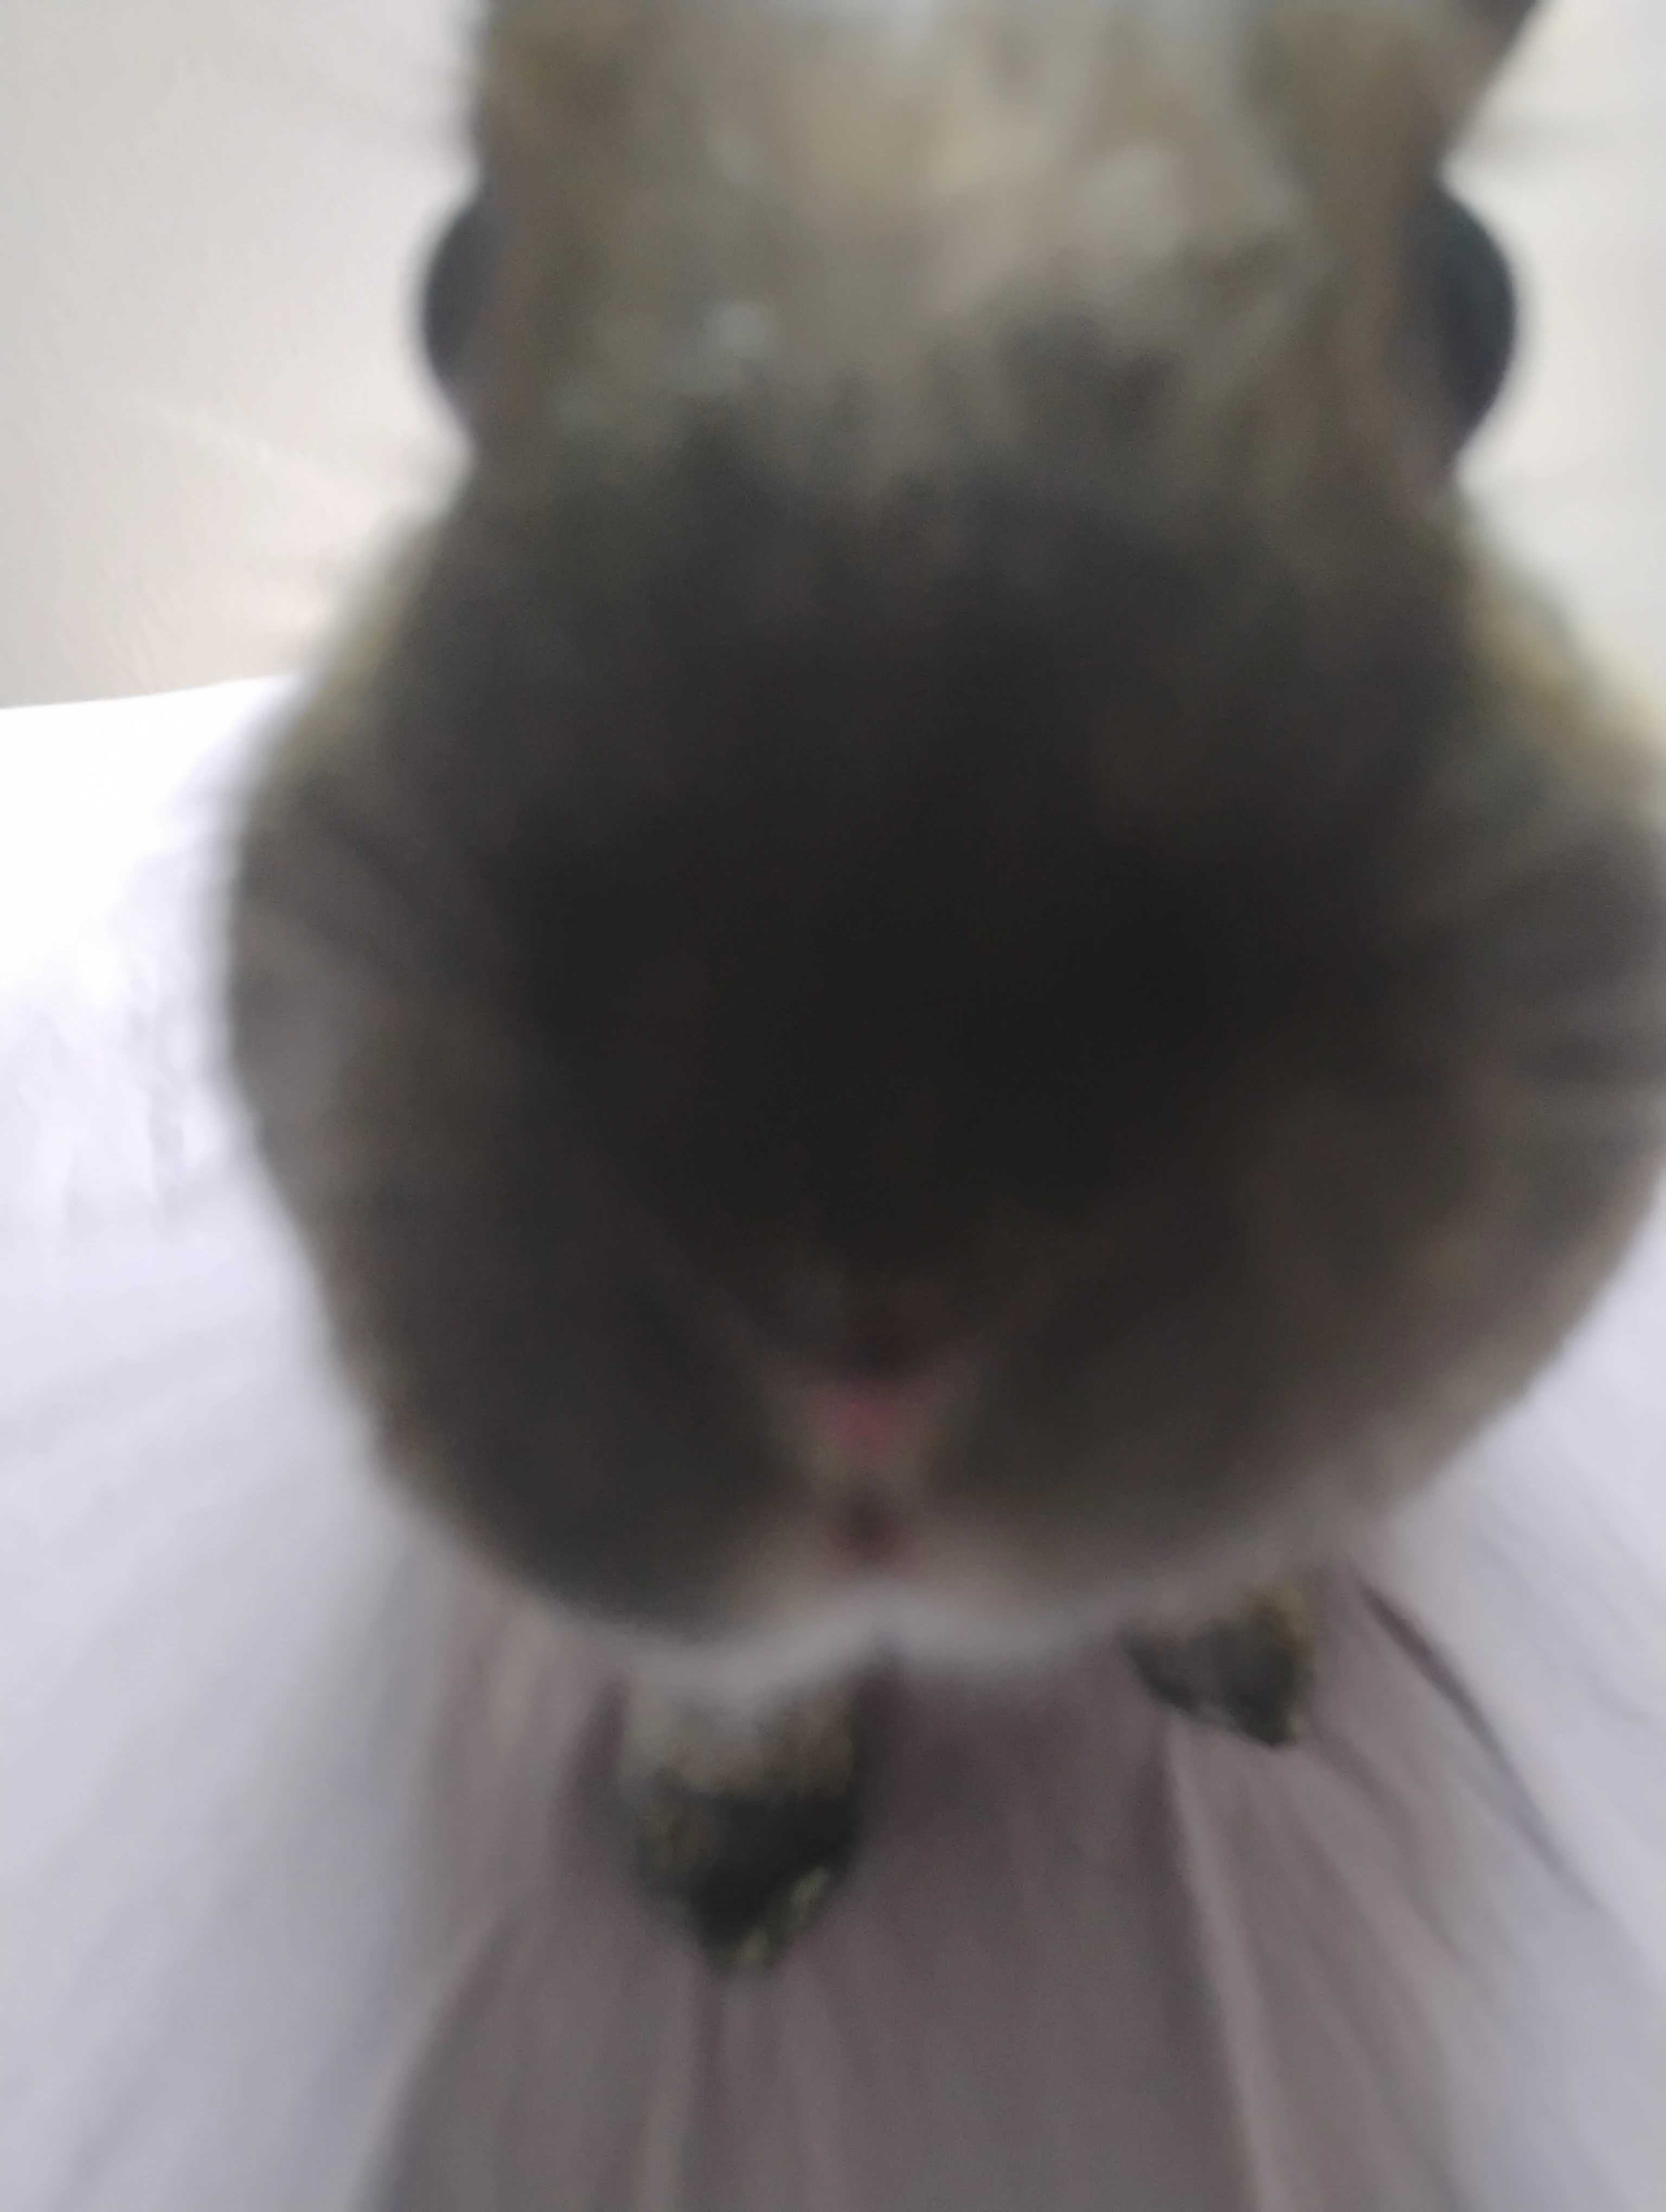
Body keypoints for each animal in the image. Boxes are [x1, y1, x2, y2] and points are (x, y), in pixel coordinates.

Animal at [229, 0, 1666, 1966]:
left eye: (1478, 298)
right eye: (450, 285)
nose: (872, 1317)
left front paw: (1241, 1677)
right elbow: (733, 1678)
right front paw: (736, 1867)